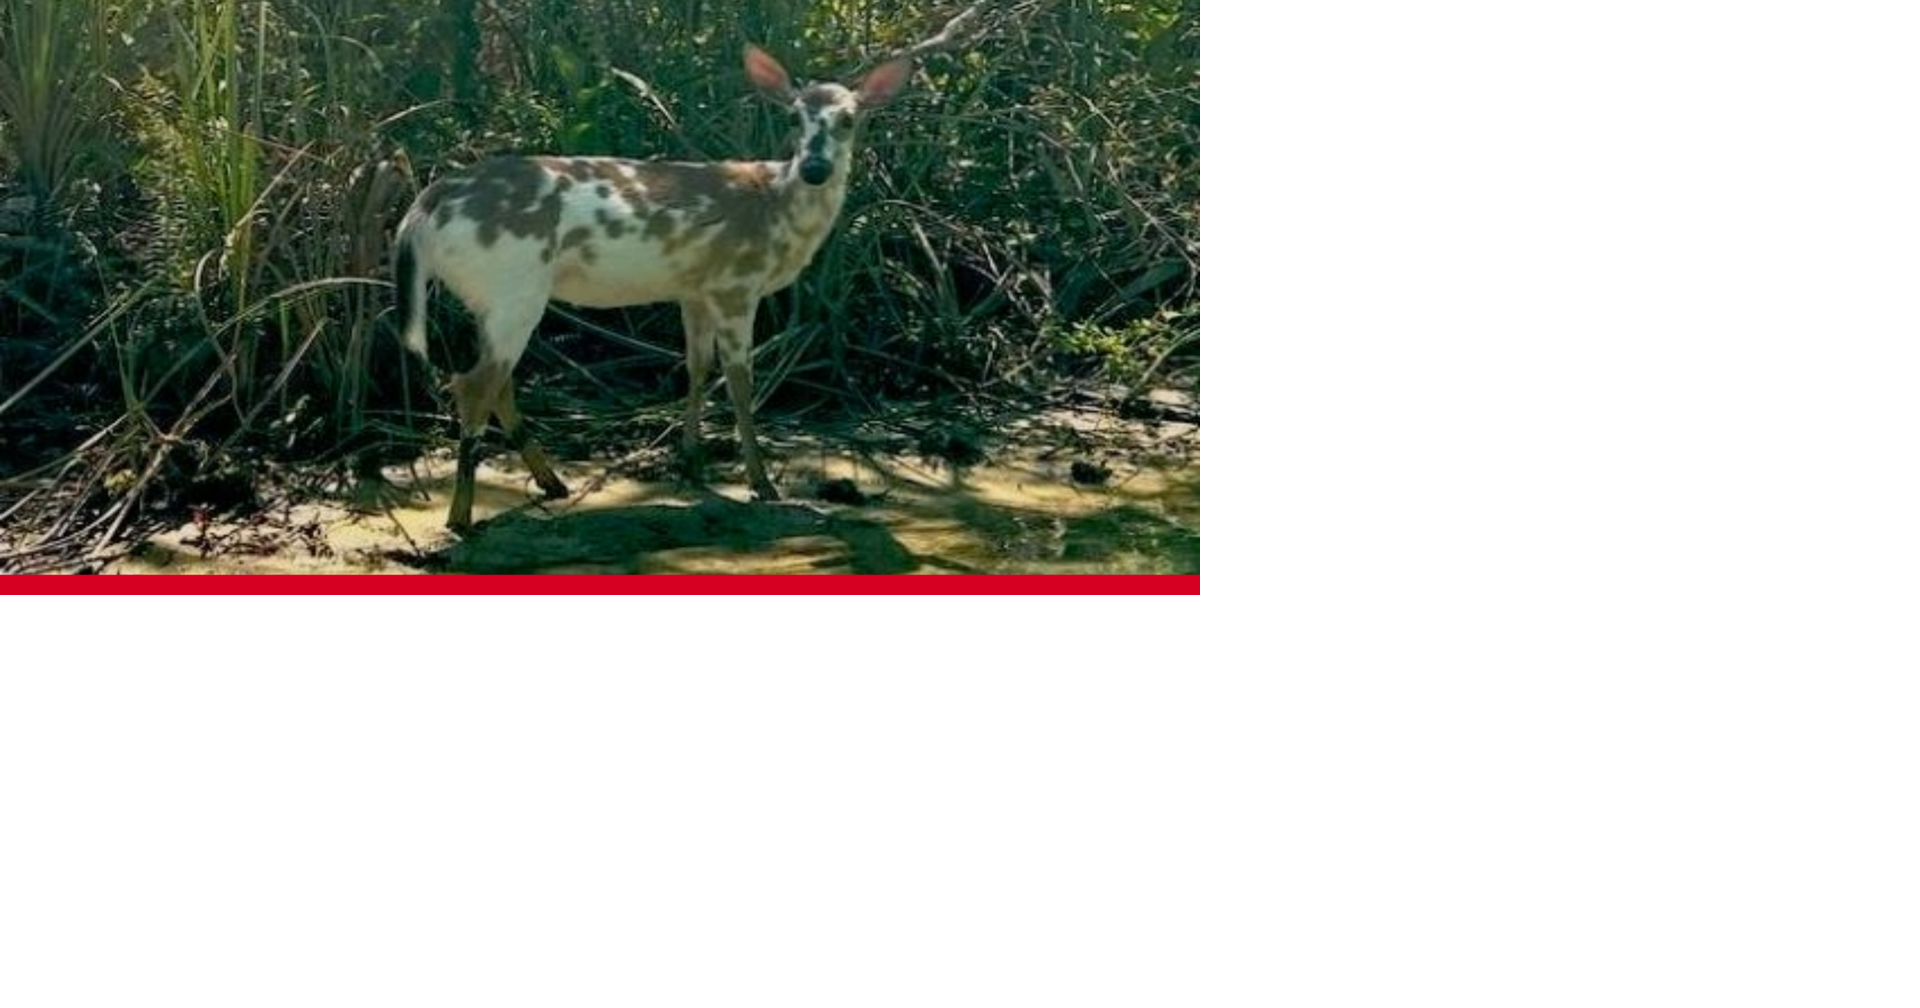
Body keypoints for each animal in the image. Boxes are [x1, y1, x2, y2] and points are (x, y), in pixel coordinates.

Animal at [392, 44, 914, 530]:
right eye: (793, 116)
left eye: (848, 118)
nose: (815, 168)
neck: (776, 210)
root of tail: (422, 209)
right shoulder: (736, 284)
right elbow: (741, 381)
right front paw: (761, 483)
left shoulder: (695, 290)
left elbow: (697, 367)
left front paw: (691, 463)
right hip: (513, 285)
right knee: (473, 382)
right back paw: (461, 516)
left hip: (492, 296)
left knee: (497, 384)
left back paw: (551, 482)